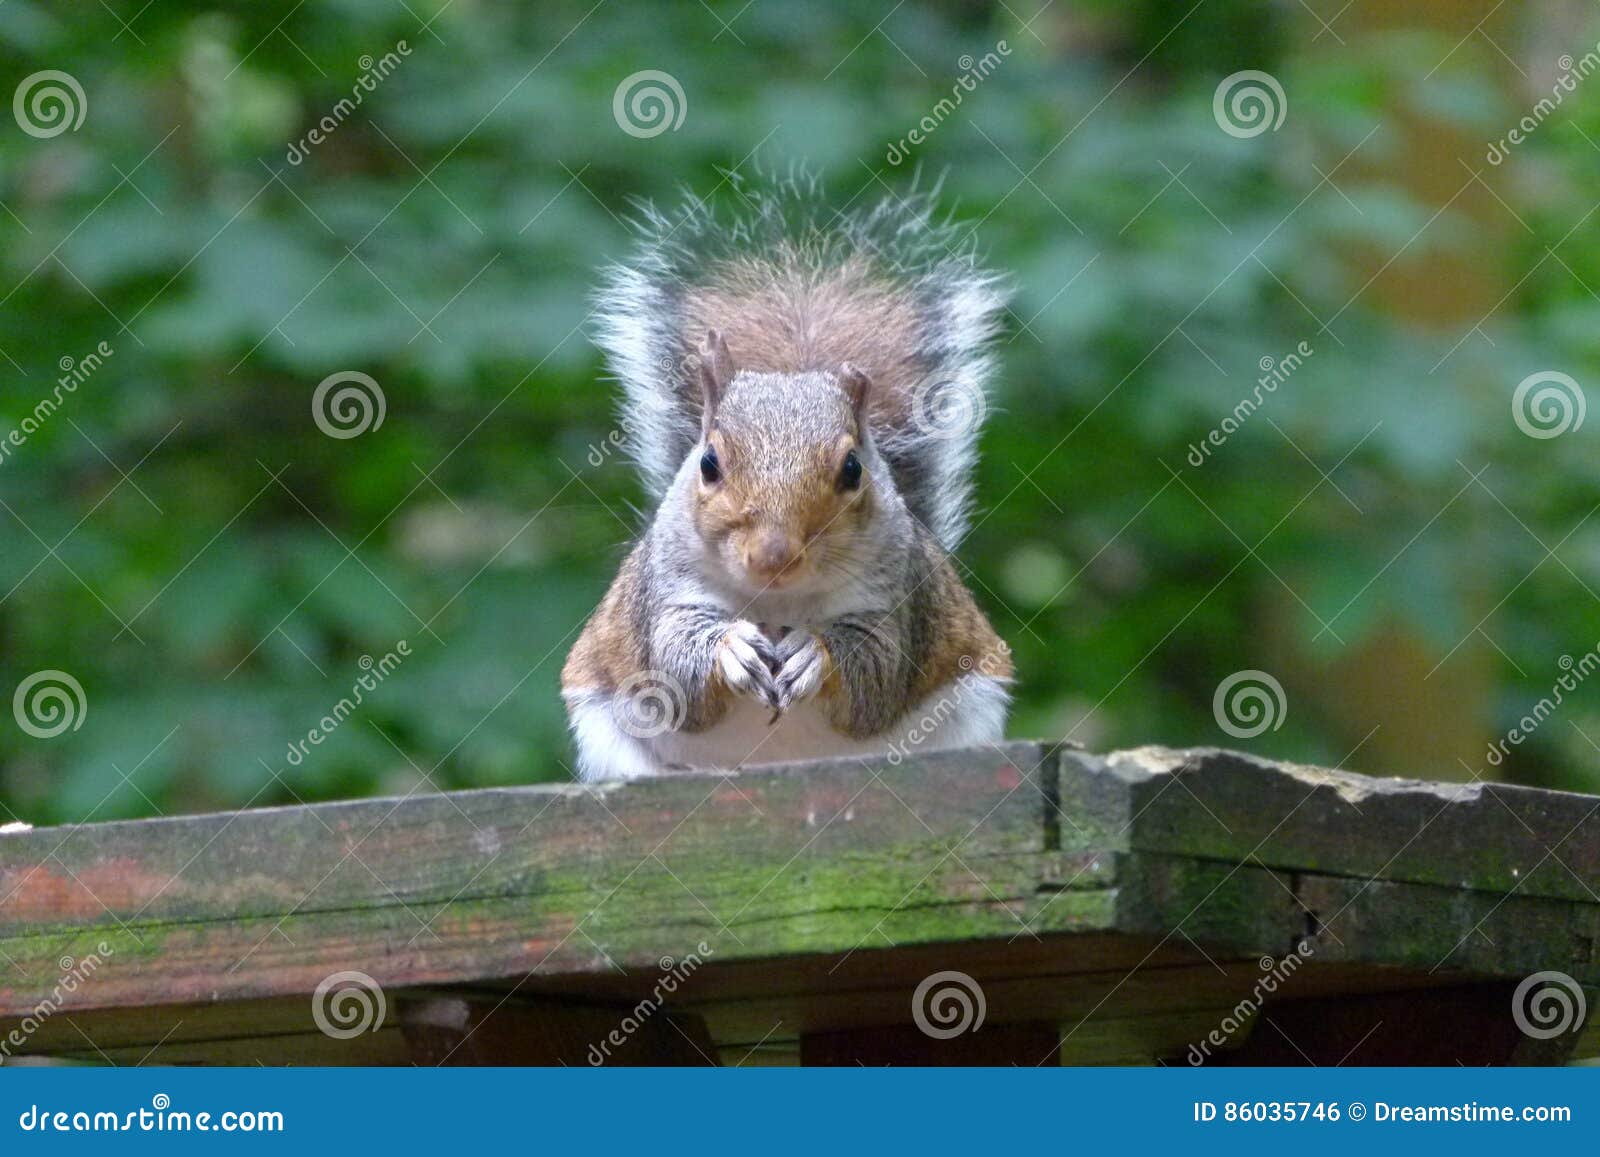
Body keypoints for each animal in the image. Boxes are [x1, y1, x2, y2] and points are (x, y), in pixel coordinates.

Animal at [561, 179, 1013, 781]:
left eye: (853, 469)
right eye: (708, 464)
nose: (773, 557)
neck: (777, 606)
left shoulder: (898, 600)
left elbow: (875, 674)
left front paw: (813, 655)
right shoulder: (666, 594)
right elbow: (675, 667)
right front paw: (730, 648)